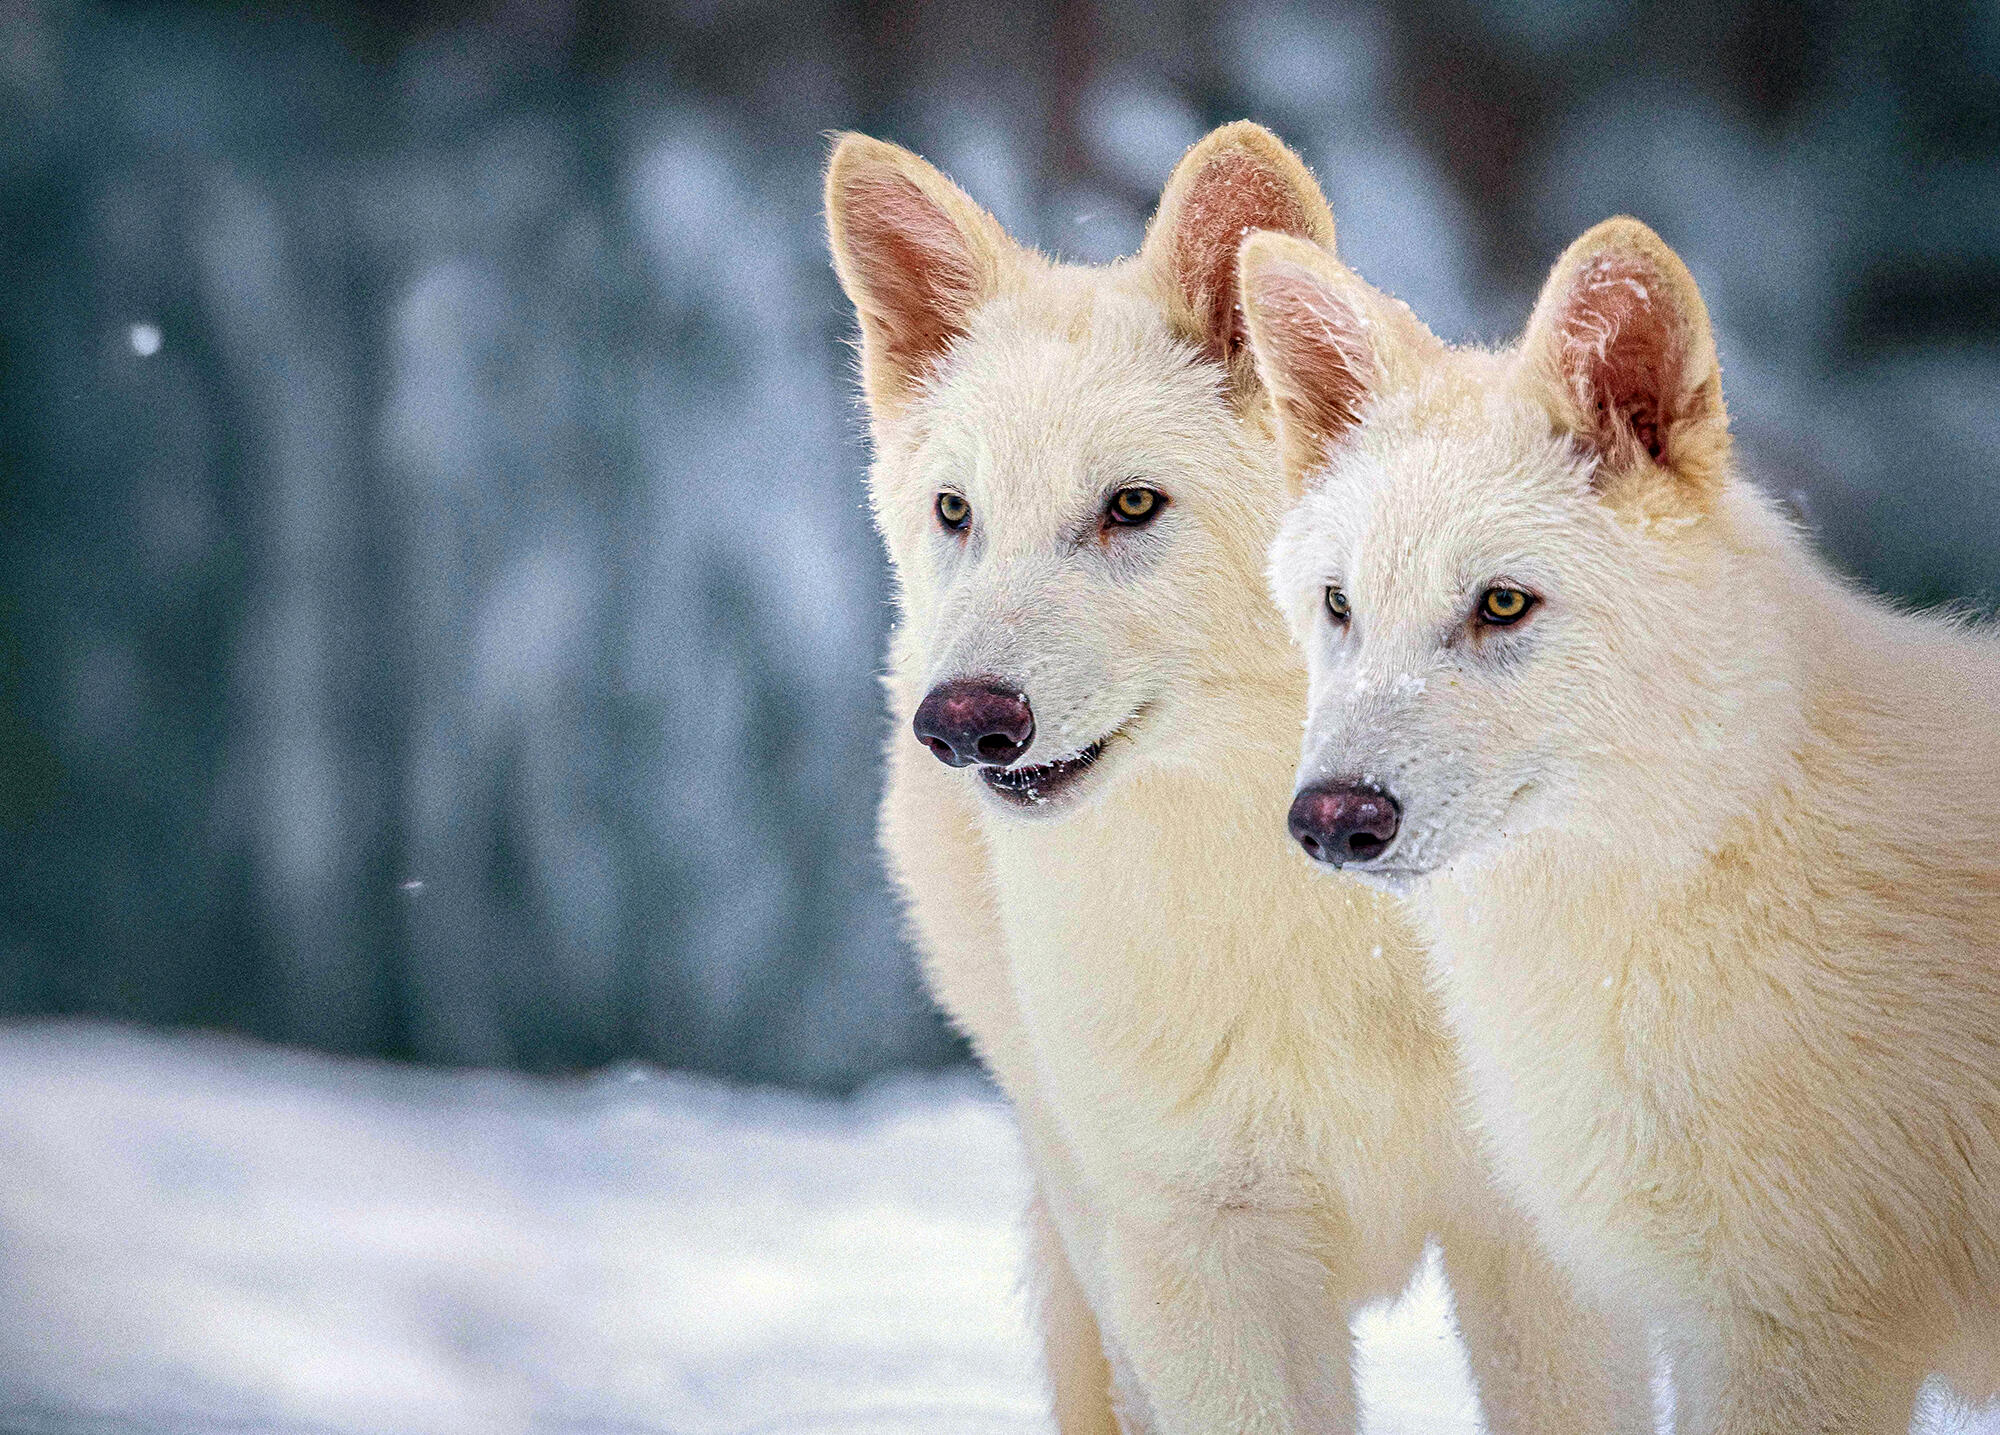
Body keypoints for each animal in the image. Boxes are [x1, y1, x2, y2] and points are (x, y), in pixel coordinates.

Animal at [824, 123, 1651, 1435]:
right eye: (956, 511)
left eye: (1130, 505)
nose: (962, 724)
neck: (1318, 923)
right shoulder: (1196, 1259)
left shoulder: (1538, 1248)